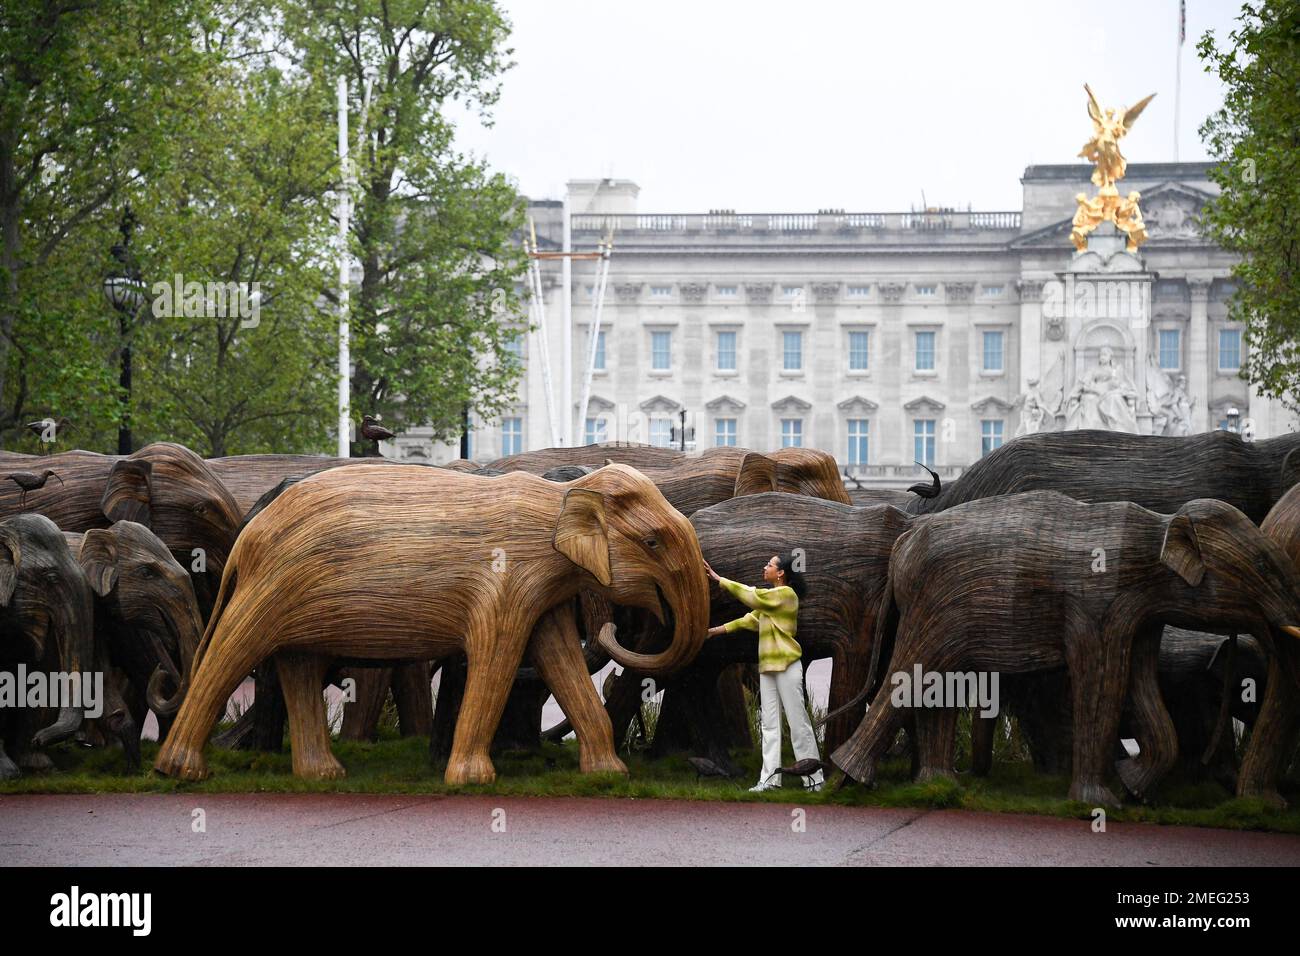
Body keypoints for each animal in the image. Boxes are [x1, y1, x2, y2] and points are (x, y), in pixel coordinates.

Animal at [155, 463, 711, 785]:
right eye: (654, 542)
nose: (617, 629)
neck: (564, 495)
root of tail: (247, 537)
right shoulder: (506, 577)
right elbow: (497, 655)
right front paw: (473, 781)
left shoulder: (543, 590)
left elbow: (560, 659)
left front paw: (610, 776)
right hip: (271, 585)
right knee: (233, 651)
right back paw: (179, 772)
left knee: (298, 664)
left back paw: (322, 776)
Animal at [830, 491, 1300, 807]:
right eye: (1261, 566)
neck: (1160, 528)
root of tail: (903, 544)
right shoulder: (1097, 603)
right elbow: (1102, 679)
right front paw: (1101, 803)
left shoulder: (1142, 616)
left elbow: (1139, 682)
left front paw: (1134, 788)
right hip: (935, 605)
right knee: (914, 671)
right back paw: (852, 778)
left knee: (936, 682)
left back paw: (938, 785)